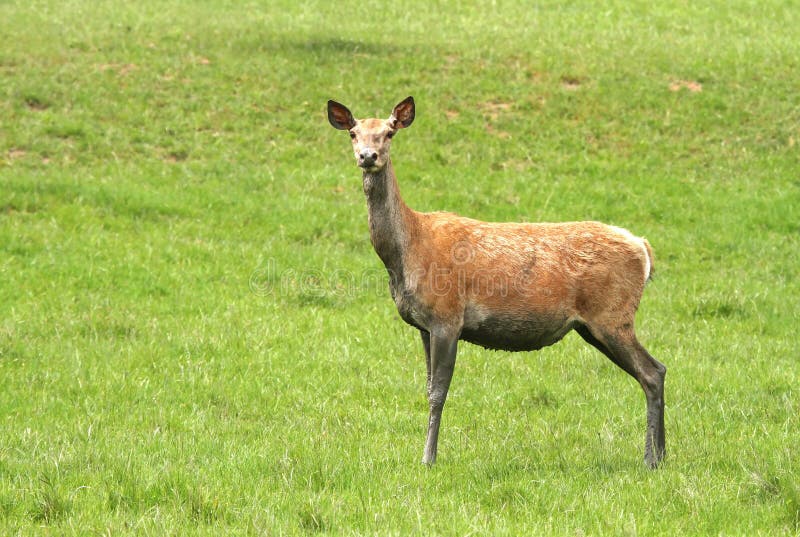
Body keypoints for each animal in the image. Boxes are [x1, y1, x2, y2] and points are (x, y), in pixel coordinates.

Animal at [327, 96, 666, 469]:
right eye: (353, 133)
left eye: (389, 132)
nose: (367, 156)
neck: (407, 253)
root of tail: (644, 248)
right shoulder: (423, 326)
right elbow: (427, 385)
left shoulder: (447, 317)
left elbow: (438, 392)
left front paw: (428, 458)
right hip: (594, 325)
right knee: (657, 370)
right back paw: (661, 455)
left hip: (613, 315)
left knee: (652, 372)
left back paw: (652, 459)